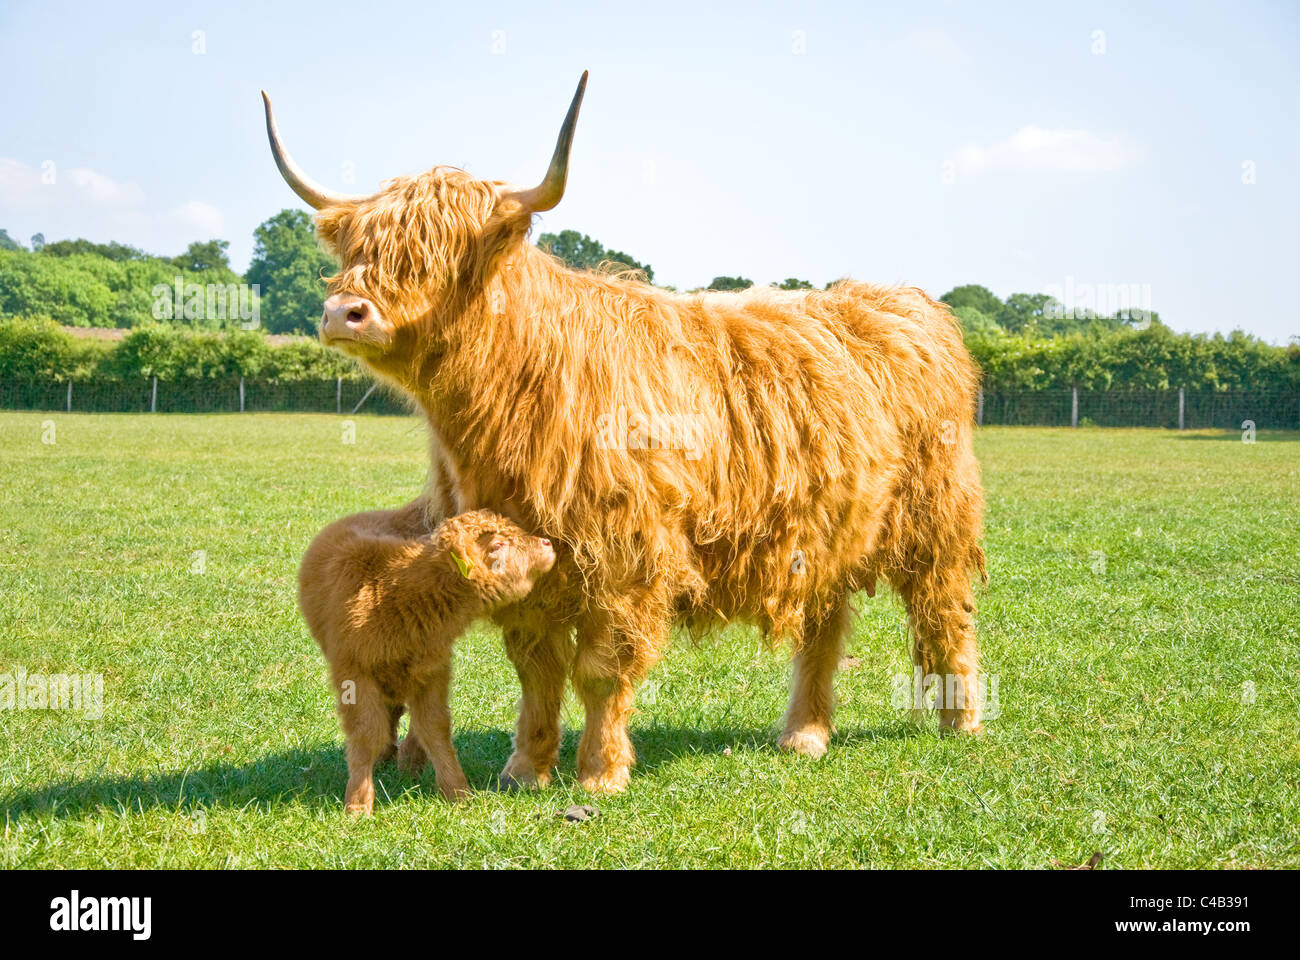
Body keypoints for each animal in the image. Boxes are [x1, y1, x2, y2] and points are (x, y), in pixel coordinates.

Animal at [265, 72, 987, 794]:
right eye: (357, 250)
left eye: (437, 252)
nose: (343, 312)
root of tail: (901, 300)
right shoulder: (526, 555)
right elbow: (536, 669)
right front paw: (526, 768)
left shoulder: (628, 558)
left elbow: (600, 670)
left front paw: (599, 772)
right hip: (825, 528)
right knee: (823, 626)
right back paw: (804, 734)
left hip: (936, 519)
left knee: (945, 612)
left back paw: (963, 721)